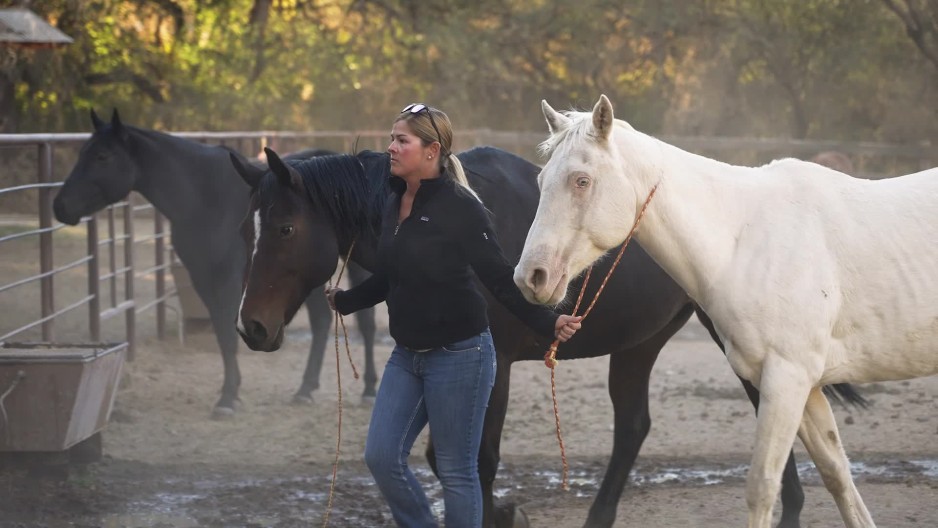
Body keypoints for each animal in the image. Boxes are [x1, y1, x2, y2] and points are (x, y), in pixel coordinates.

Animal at [51, 109, 379, 418]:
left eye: (102, 156)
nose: (60, 206)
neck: (204, 199)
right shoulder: (203, 278)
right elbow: (223, 333)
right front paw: (230, 393)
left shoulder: (230, 280)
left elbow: (228, 330)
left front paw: (227, 398)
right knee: (322, 321)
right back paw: (306, 388)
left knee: (366, 323)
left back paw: (368, 389)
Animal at [229, 144, 864, 528]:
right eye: (246, 229)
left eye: (284, 228)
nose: (250, 326)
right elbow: (442, 455)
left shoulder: (494, 366)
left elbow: (473, 458)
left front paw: (503, 513)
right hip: (640, 345)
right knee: (635, 427)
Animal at [515, 94, 936, 528]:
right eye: (542, 181)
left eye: (581, 181)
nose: (531, 276)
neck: (743, 241)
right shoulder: (805, 389)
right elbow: (838, 477)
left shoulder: (787, 380)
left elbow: (762, 486)